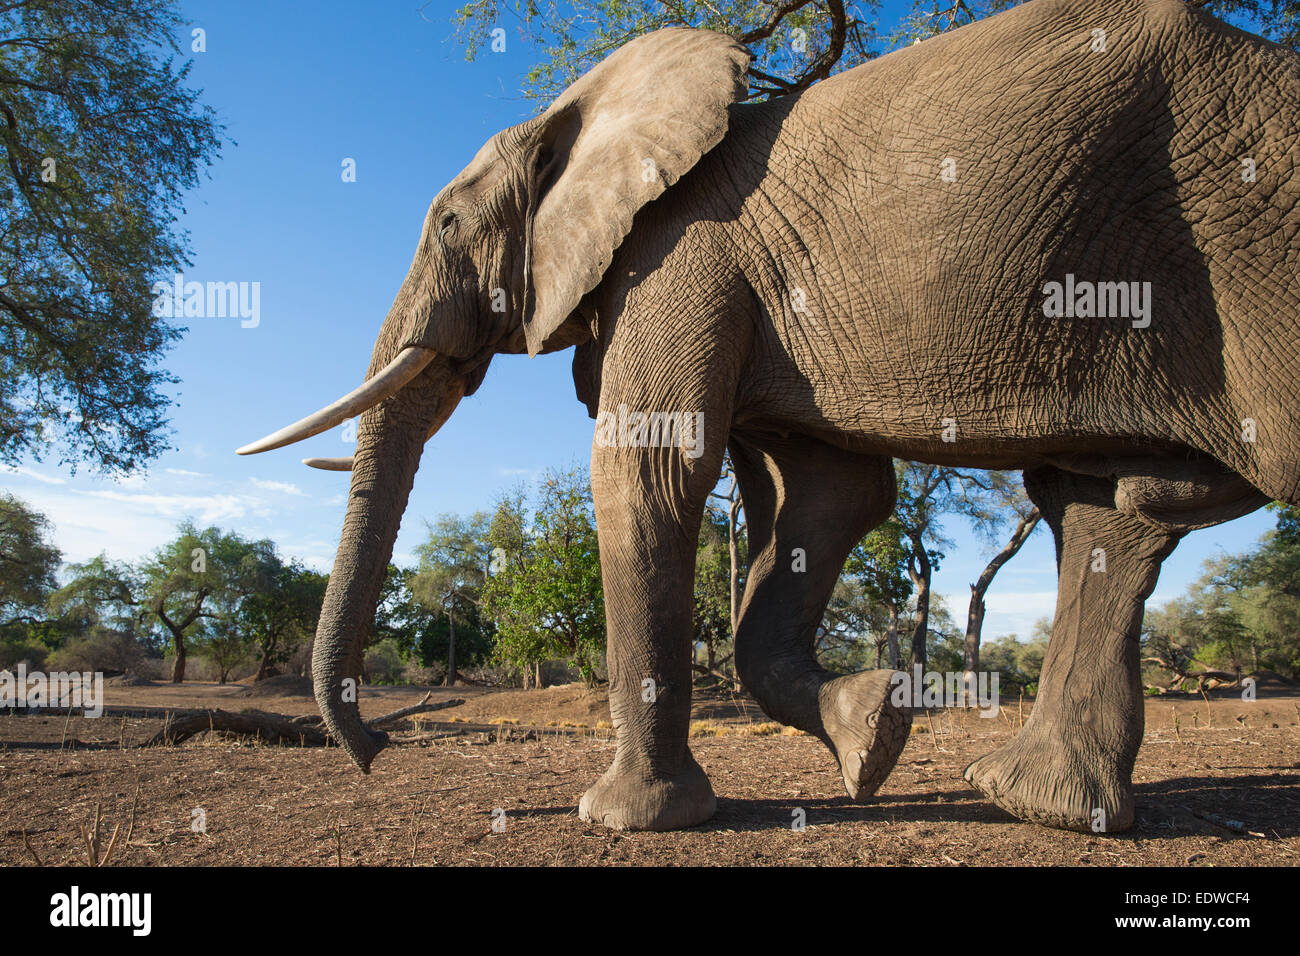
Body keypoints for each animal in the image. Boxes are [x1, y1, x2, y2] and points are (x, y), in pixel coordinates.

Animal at [239, 0, 1298, 833]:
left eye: (449, 225)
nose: (376, 754)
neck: (580, 111)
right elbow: (830, 497)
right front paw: (873, 735)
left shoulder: (681, 255)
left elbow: (648, 474)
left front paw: (629, 820)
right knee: (1099, 505)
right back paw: (1034, 802)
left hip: (1252, 234)